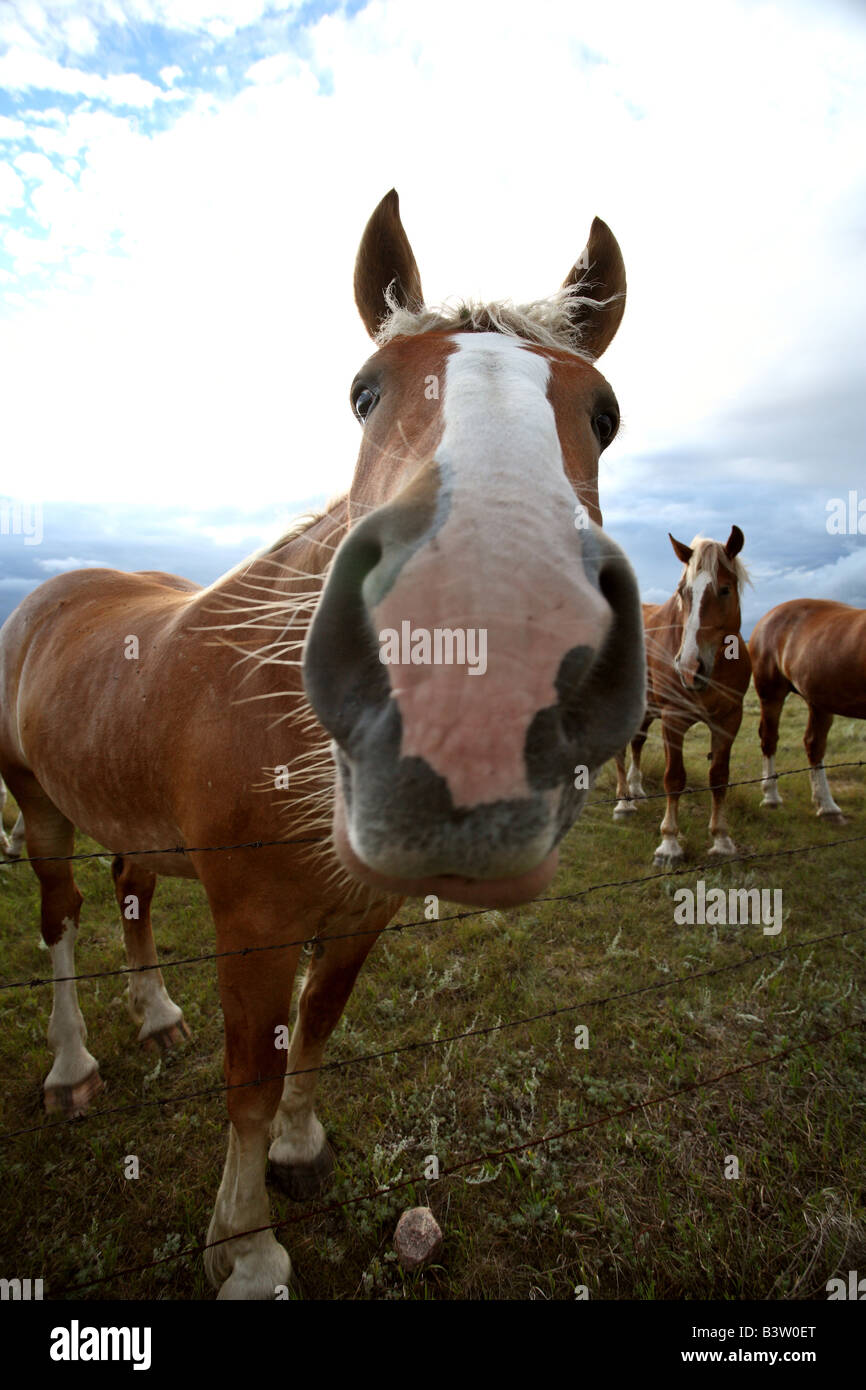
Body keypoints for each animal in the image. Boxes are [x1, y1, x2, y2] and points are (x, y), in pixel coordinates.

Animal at [0, 189, 646, 1299]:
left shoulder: (362, 907)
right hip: (37, 807)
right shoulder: (254, 919)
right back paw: (73, 1067)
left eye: (602, 413)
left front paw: (299, 1152)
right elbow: (251, 1074)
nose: (480, 652)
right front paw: (246, 1247)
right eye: (361, 394)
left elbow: (318, 1025)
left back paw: (154, 1016)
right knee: (62, 920)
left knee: (129, 893)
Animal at [613, 528, 751, 866]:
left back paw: (636, 791)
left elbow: (720, 776)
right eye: (682, 592)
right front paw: (669, 844)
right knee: (621, 751)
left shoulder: (729, 720)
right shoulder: (673, 720)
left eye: (725, 590)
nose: (689, 667)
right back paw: (623, 802)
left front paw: (722, 839)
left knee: (636, 743)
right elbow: (674, 777)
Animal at [750, 598, 866, 823]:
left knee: (814, 744)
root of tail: (769, 615)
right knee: (769, 738)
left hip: (819, 701)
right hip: (771, 694)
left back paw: (827, 806)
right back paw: (771, 797)